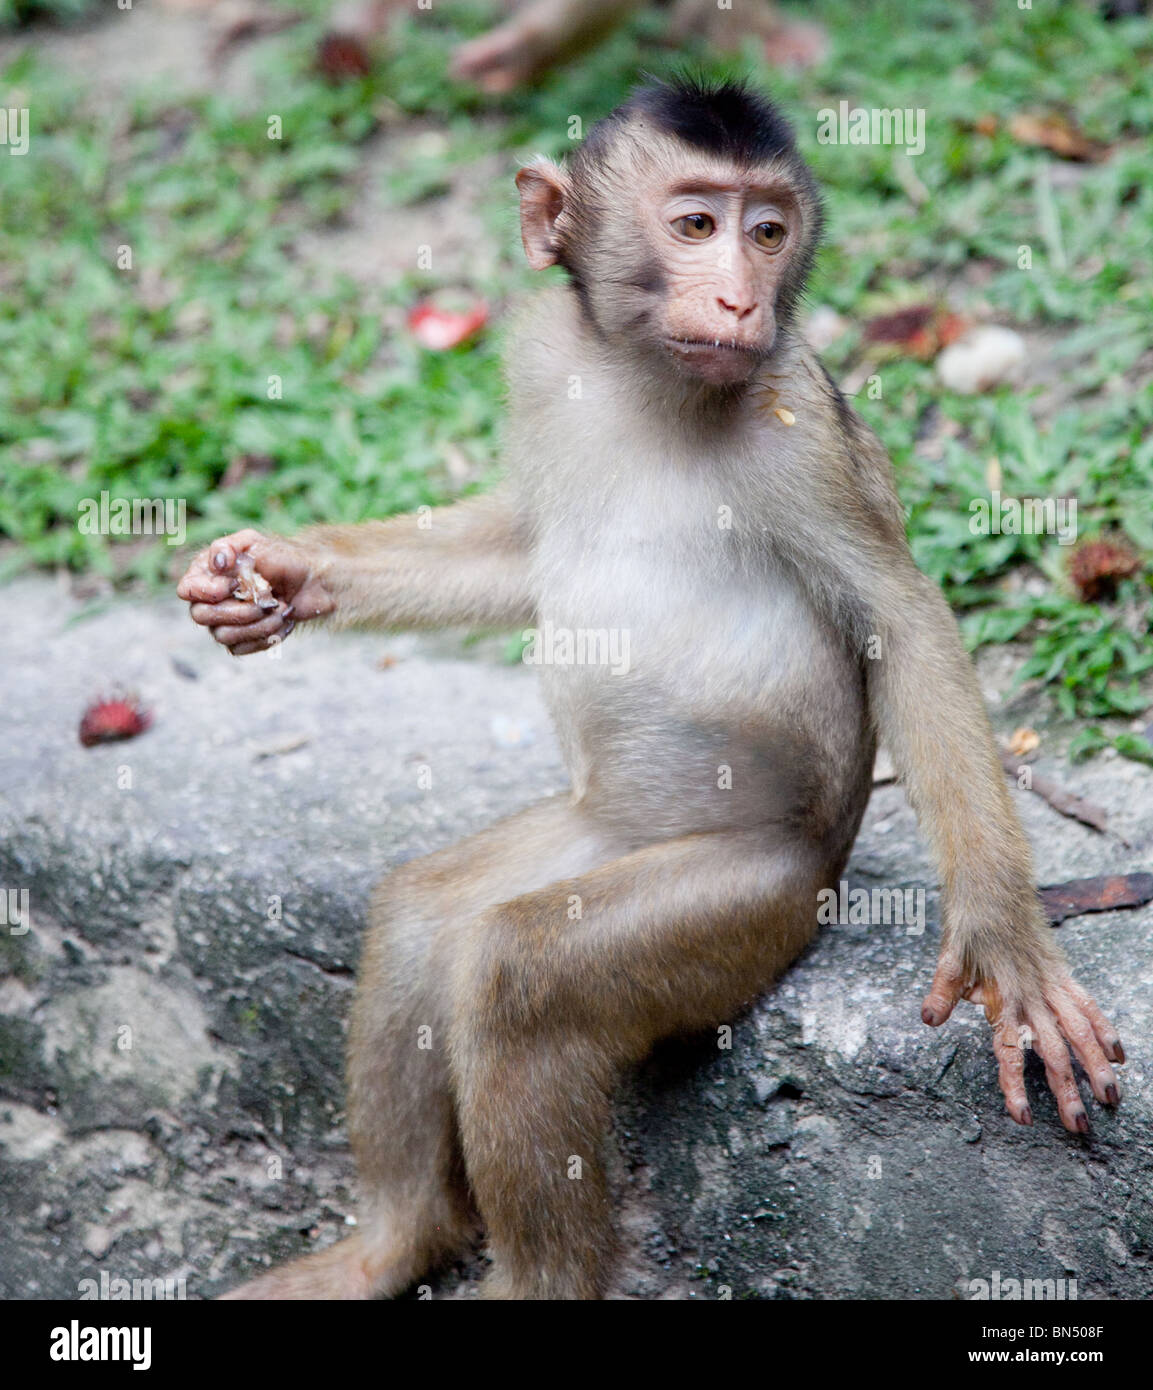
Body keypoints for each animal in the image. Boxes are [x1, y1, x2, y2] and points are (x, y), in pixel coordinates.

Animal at [178, 78, 1124, 1300]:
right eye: (695, 224)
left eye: (766, 232)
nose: (737, 295)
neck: (643, 379)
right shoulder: (546, 363)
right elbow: (523, 548)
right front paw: (282, 579)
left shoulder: (798, 425)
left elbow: (900, 622)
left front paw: (1005, 946)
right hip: (594, 832)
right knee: (426, 916)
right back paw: (394, 1240)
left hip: (751, 895)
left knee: (518, 977)